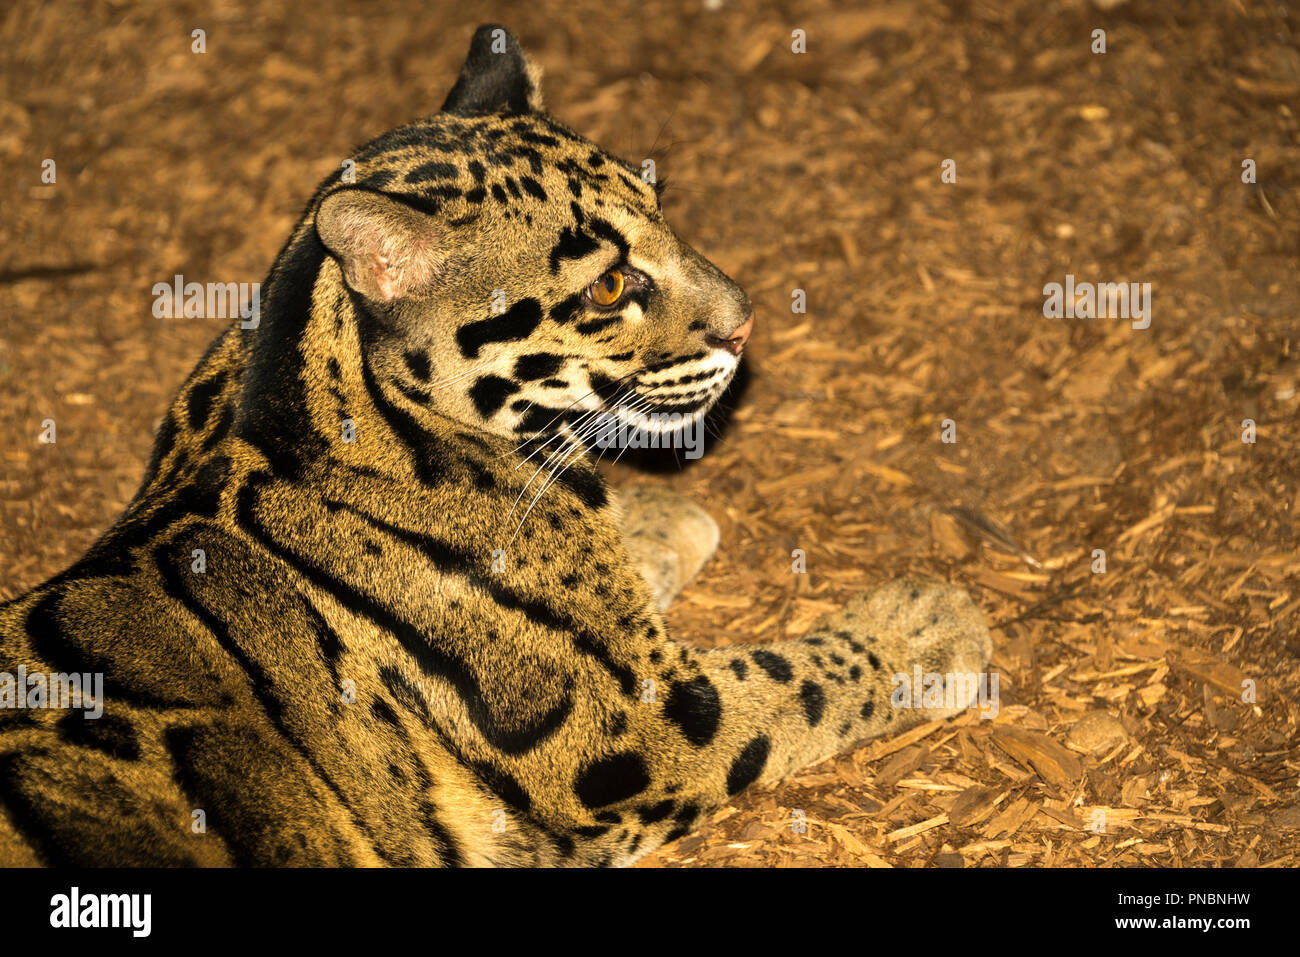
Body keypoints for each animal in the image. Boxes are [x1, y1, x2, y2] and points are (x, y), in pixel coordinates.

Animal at [0, 24, 992, 867]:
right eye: (609, 287)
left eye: (665, 212)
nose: (746, 323)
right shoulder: (643, 729)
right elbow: (791, 677)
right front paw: (925, 626)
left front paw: (650, 525)